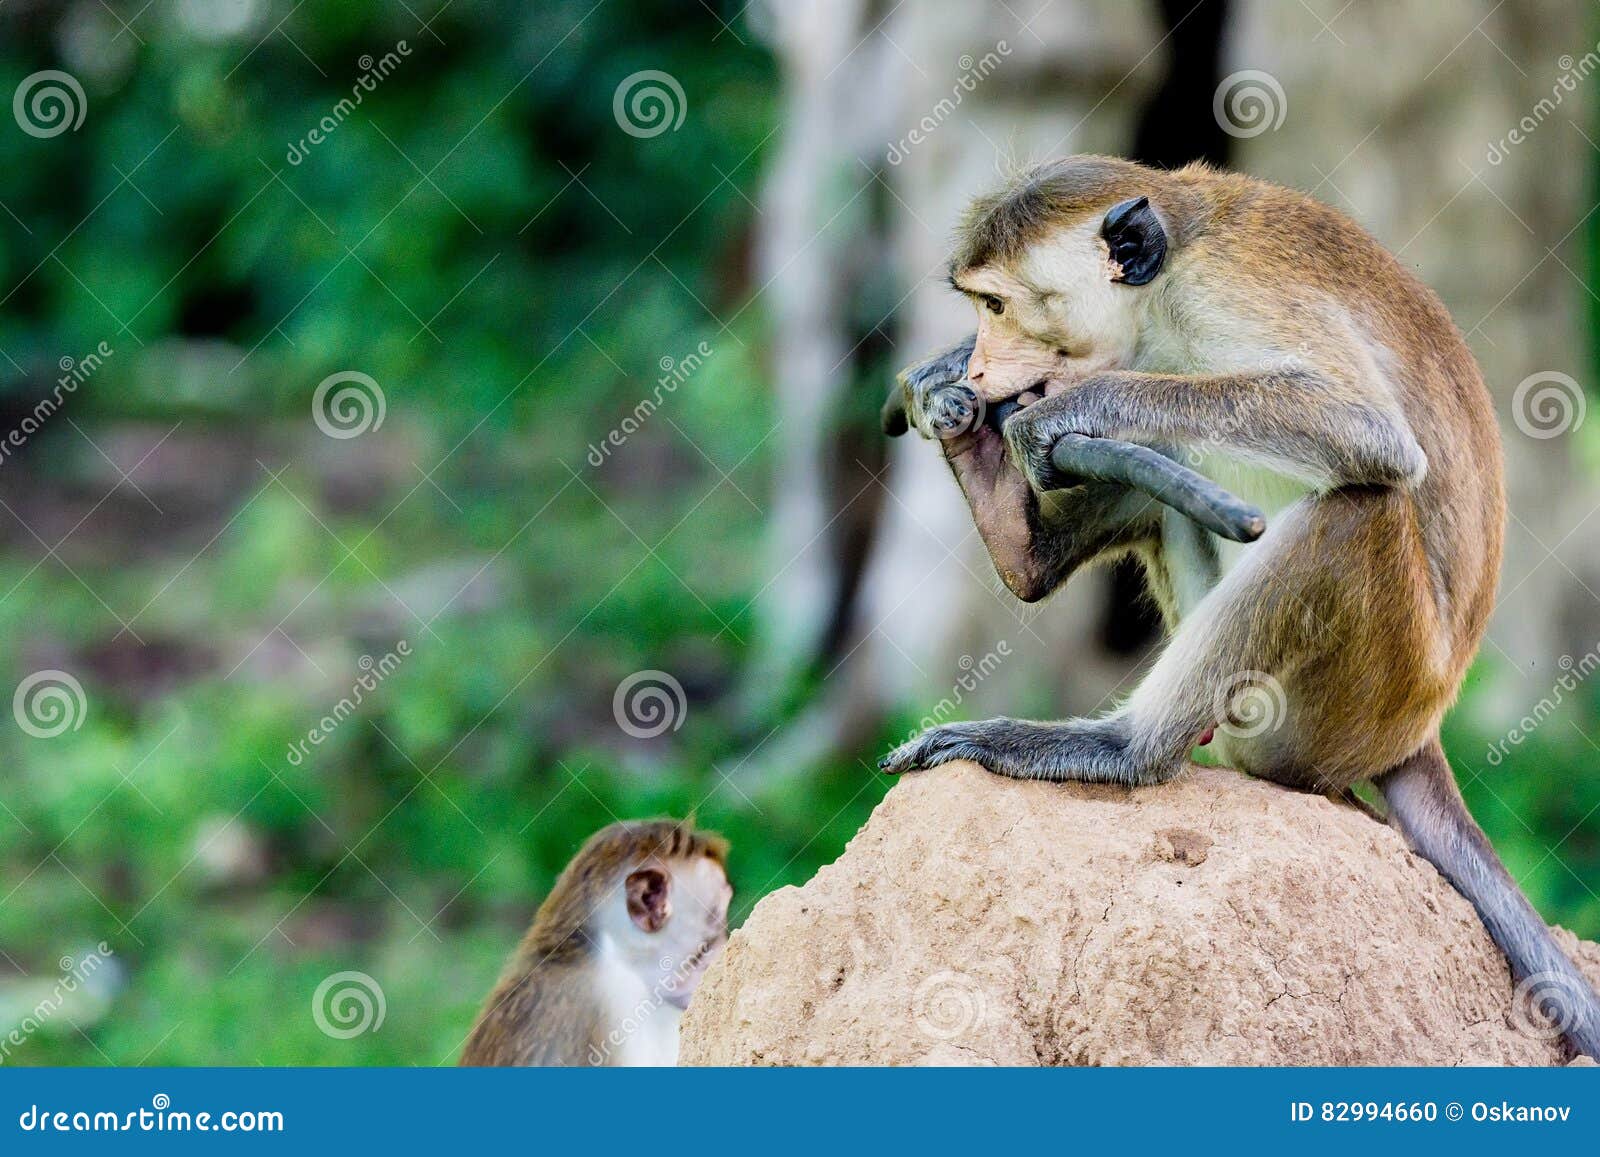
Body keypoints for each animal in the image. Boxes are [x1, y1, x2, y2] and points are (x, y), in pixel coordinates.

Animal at [878, 155, 1600, 1058]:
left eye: (999, 306)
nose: (978, 367)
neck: (1163, 289)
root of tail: (1422, 727)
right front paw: (955, 398)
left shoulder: (1226, 291)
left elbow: (1371, 436)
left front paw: (1055, 414)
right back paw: (1021, 545)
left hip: (1357, 695)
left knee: (1358, 503)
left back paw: (1126, 747)